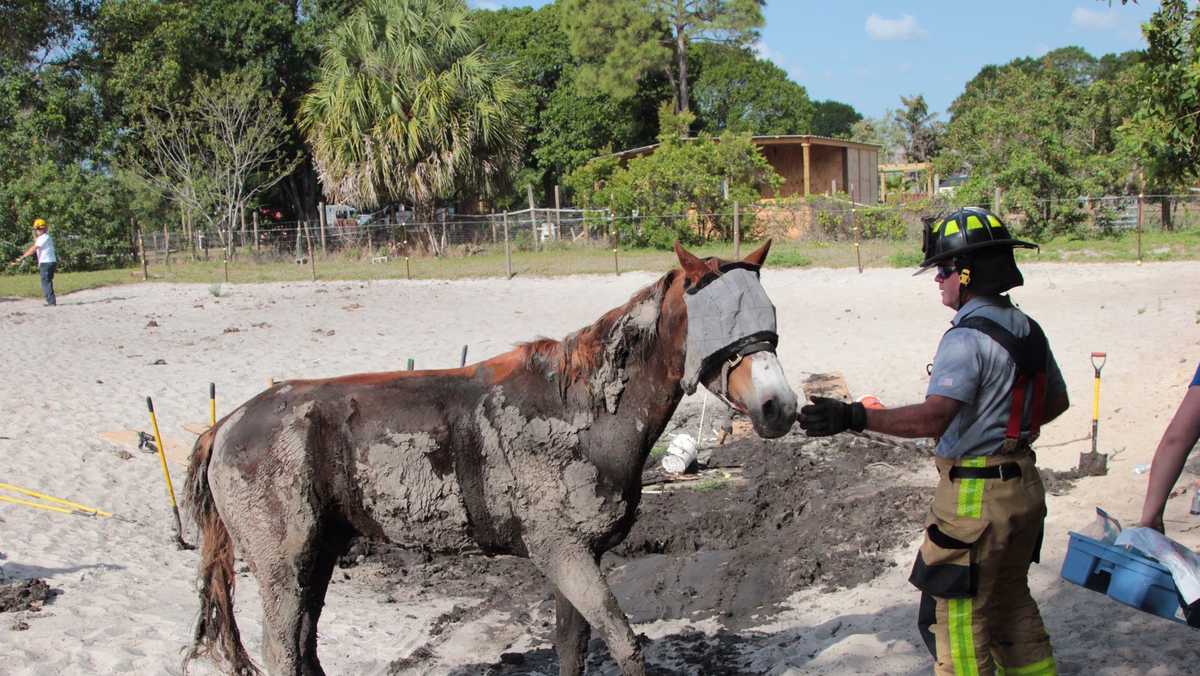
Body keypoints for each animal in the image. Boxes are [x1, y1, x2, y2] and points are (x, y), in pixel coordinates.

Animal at [183, 241, 798, 676]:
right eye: (721, 320)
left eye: (769, 316)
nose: (779, 407)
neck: (579, 409)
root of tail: (226, 424)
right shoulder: (564, 554)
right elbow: (625, 646)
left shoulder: (576, 559)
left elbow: (573, 648)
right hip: (283, 567)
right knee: (285, 651)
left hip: (319, 556)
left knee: (306, 648)